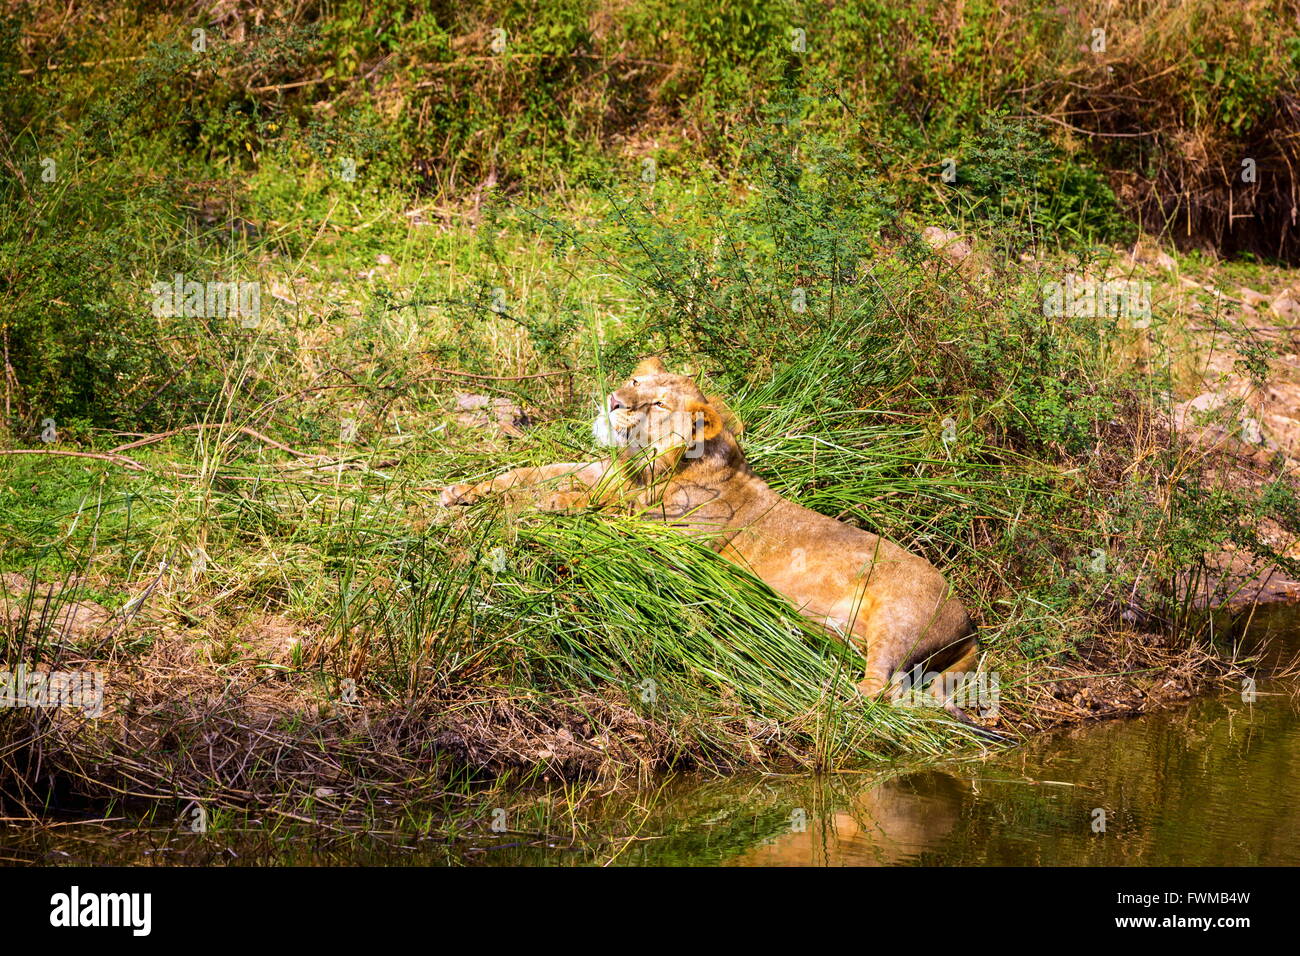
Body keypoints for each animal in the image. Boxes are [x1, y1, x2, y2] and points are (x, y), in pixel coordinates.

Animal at [440, 357, 979, 716]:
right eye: (634, 381)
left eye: (656, 403)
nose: (614, 402)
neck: (641, 465)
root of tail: (969, 620)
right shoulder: (599, 471)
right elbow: (530, 473)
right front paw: (461, 491)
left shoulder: (662, 532)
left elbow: (583, 505)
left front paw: (534, 507)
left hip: (896, 617)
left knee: (884, 689)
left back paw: (832, 695)